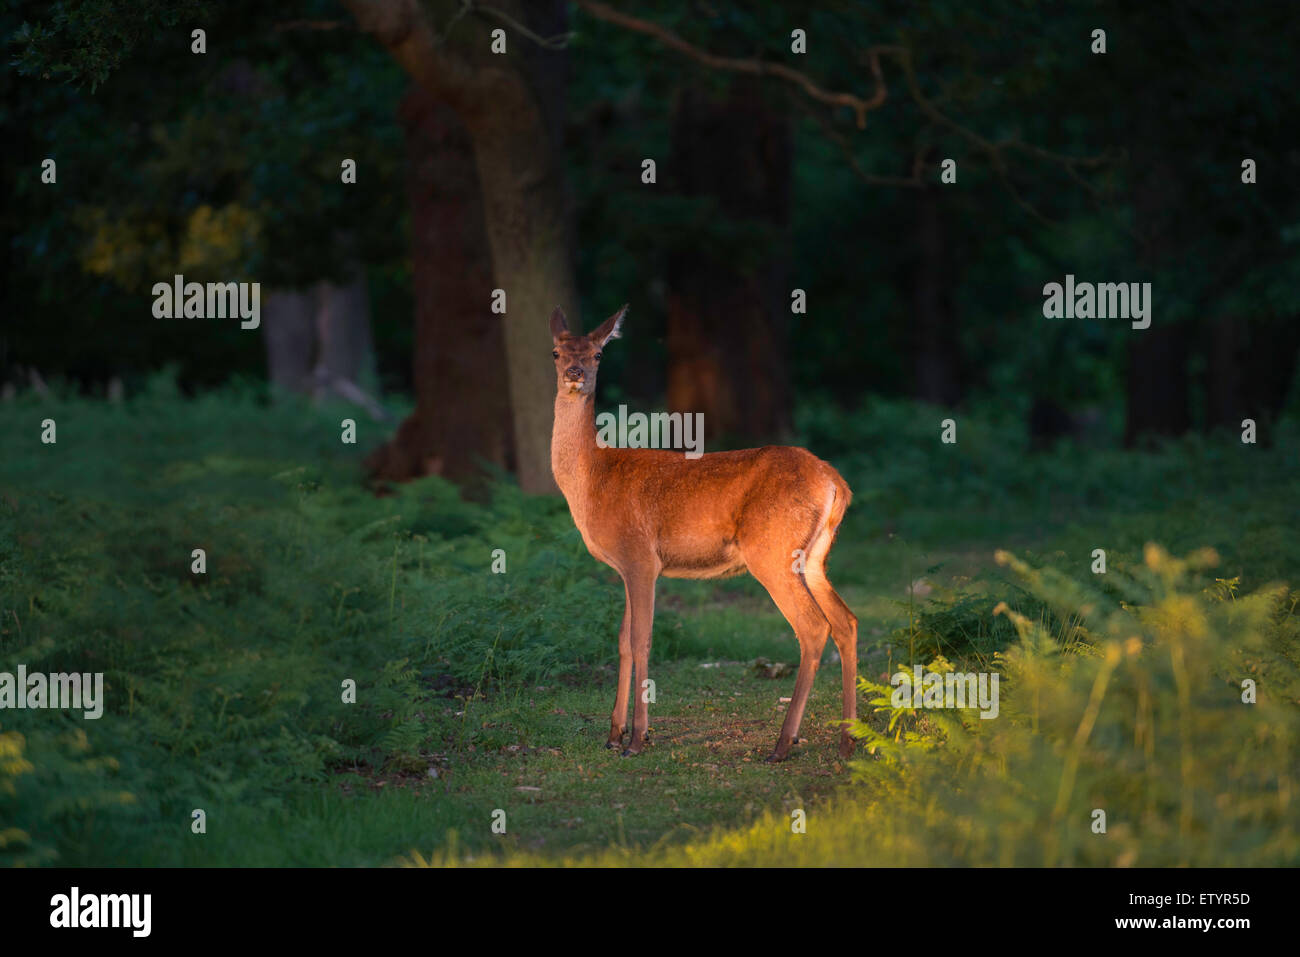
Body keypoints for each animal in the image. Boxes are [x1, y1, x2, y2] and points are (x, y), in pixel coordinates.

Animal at [549, 304, 858, 763]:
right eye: (556, 351)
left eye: (598, 354)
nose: (575, 372)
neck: (592, 480)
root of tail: (836, 482)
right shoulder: (625, 567)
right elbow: (622, 640)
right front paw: (613, 734)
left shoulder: (641, 557)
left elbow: (642, 640)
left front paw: (637, 738)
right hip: (815, 556)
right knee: (846, 621)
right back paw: (847, 740)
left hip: (772, 549)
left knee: (813, 627)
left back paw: (783, 743)